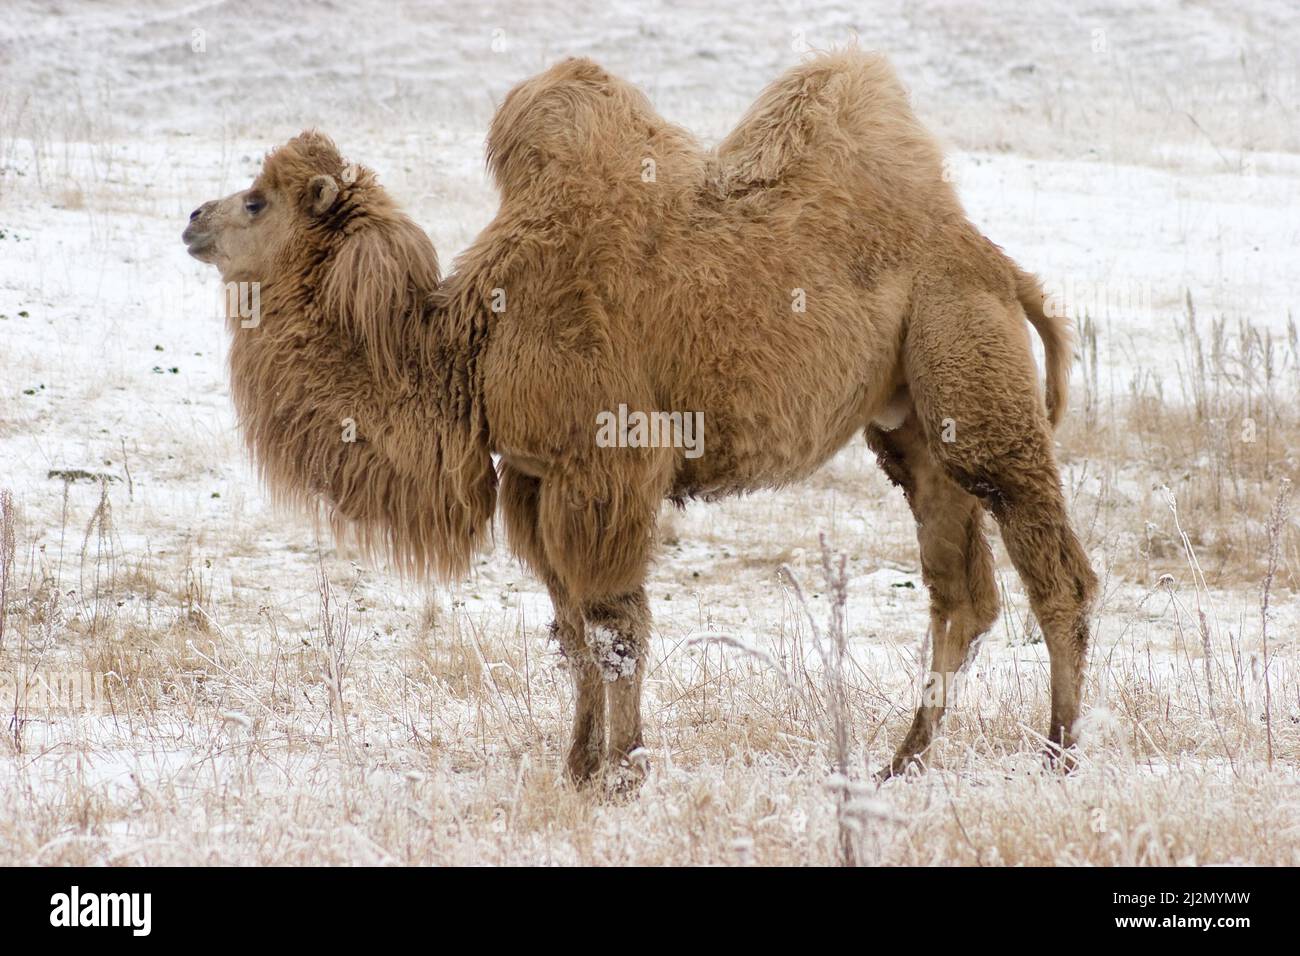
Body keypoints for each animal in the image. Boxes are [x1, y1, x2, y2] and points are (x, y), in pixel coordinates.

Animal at [182, 50, 1097, 786]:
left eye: (259, 202)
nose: (193, 218)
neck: (472, 345)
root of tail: (999, 264)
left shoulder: (603, 463)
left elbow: (614, 627)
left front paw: (623, 771)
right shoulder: (533, 480)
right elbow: (572, 630)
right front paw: (579, 766)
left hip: (968, 368)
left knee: (1054, 570)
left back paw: (1058, 756)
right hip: (908, 424)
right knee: (961, 595)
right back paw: (900, 763)